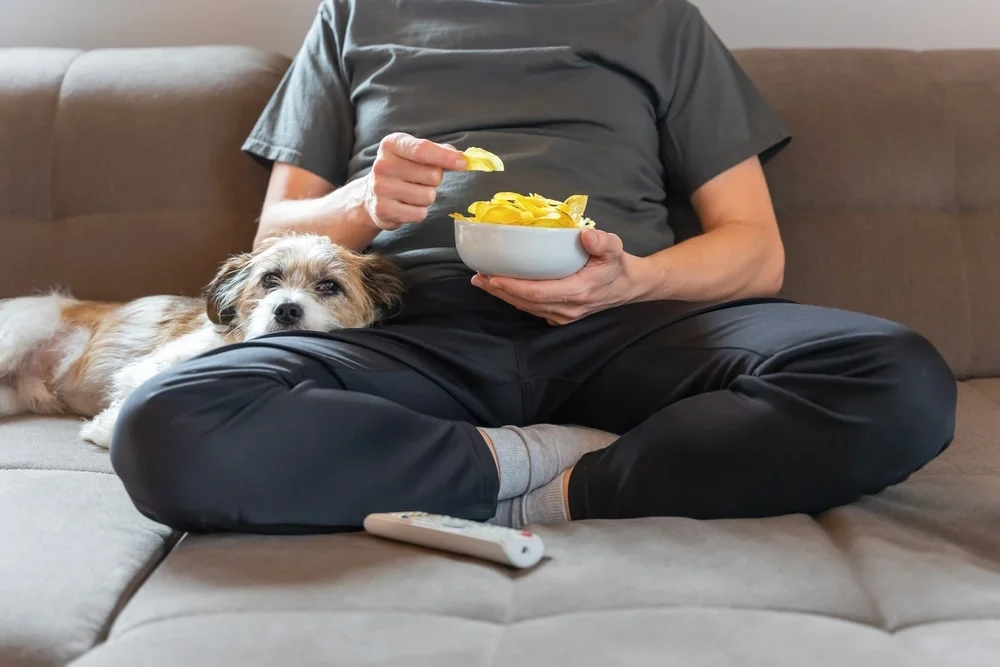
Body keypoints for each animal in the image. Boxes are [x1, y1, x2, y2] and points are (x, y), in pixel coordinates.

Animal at [1, 234, 406, 448]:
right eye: (269, 279)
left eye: (330, 286)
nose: (286, 310)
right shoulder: (146, 369)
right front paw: (102, 429)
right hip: (16, 339)